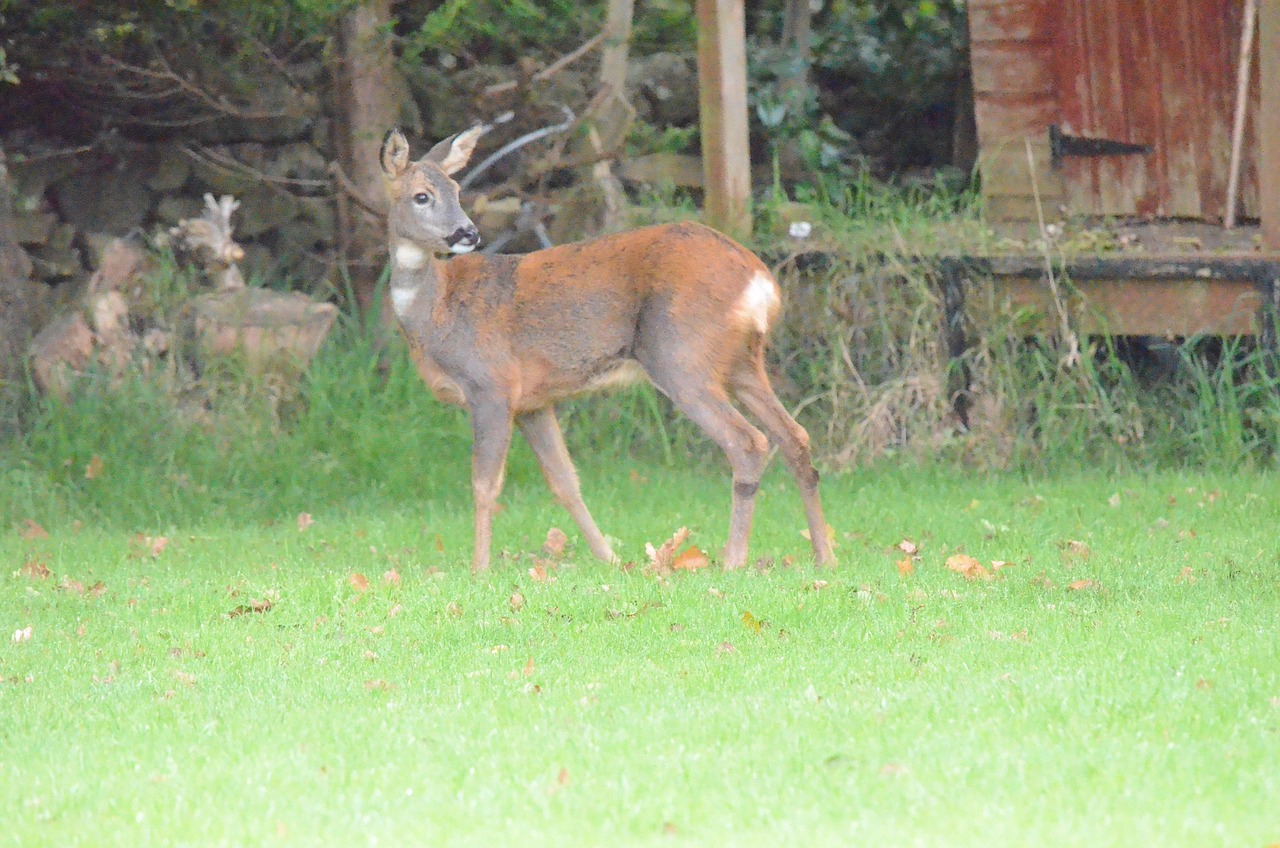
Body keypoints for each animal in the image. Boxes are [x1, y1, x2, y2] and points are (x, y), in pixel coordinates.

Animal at [379, 127, 835, 573]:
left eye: (456, 190)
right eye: (423, 195)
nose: (468, 233)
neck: (435, 312)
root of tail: (761, 282)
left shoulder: (490, 384)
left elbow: (484, 484)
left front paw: (480, 571)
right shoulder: (533, 402)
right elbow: (565, 482)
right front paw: (611, 559)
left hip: (679, 355)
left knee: (749, 442)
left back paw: (734, 561)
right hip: (742, 362)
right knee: (795, 436)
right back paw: (824, 556)